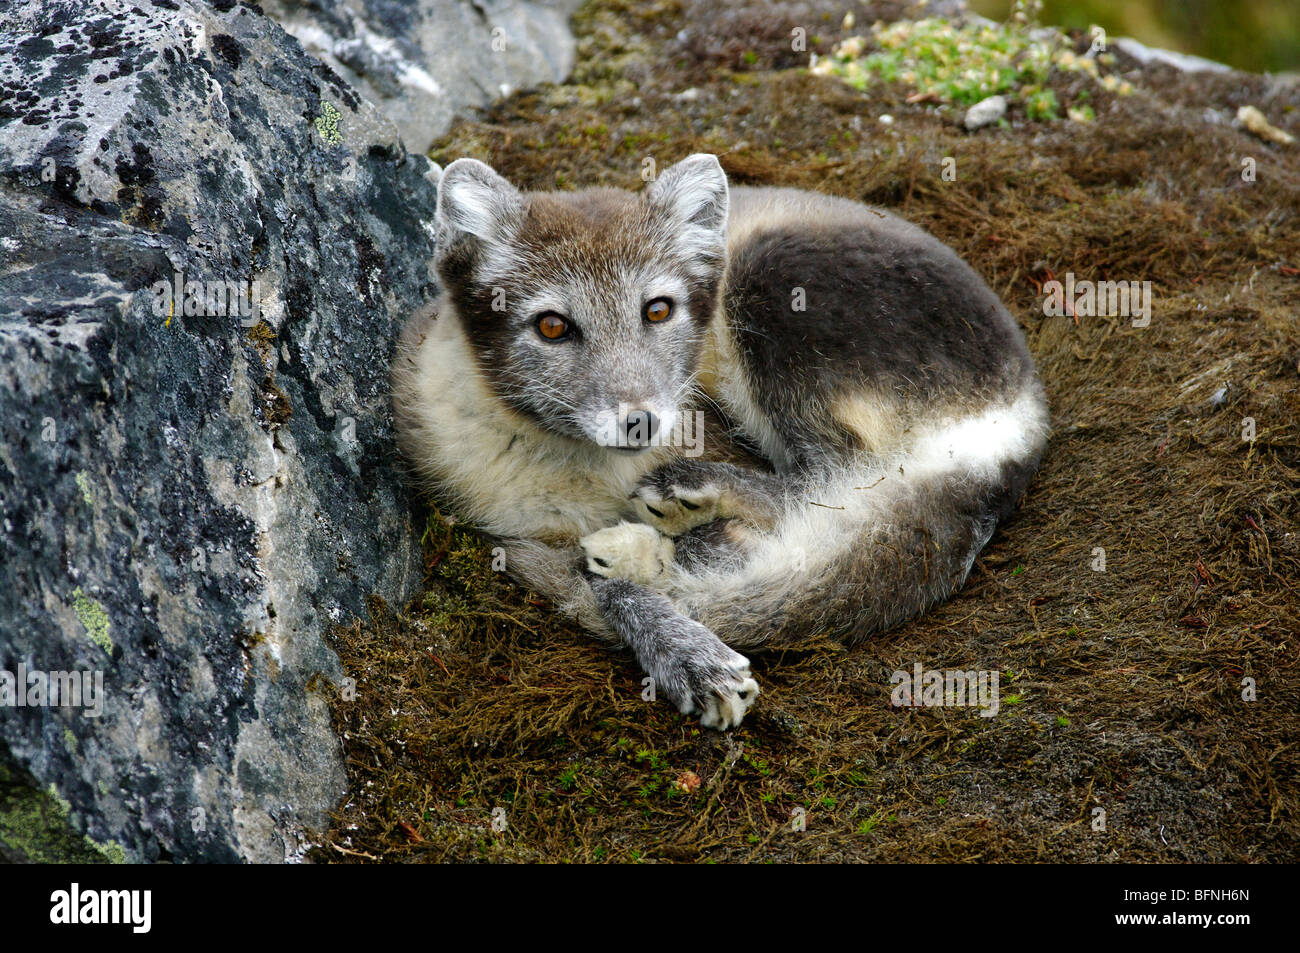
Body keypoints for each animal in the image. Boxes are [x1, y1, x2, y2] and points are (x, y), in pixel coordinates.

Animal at [392, 153, 1050, 731]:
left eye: (658, 310)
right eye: (552, 326)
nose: (641, 422)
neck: (572, 476)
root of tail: (1022, 410)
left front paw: (686, 642)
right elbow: (607, 583)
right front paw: (680, 646)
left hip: (770, 283)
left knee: (830, 483)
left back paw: (677, 513)